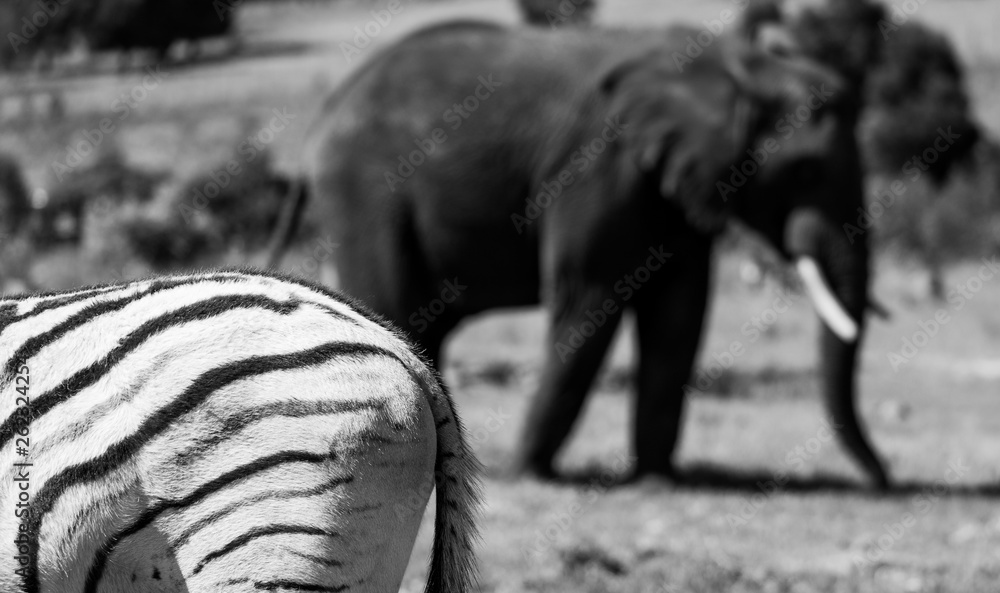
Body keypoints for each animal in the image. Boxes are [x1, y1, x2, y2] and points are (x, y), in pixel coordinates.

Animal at [285, 20, 890, 489]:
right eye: (805, 171)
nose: (885, 480)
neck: (739, 68)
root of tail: (326, 114)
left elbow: (680, 313)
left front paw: (655, 481)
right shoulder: (598, 168)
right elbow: (589, 300)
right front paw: (526, 474)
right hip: (368, 197)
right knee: (396, 313)